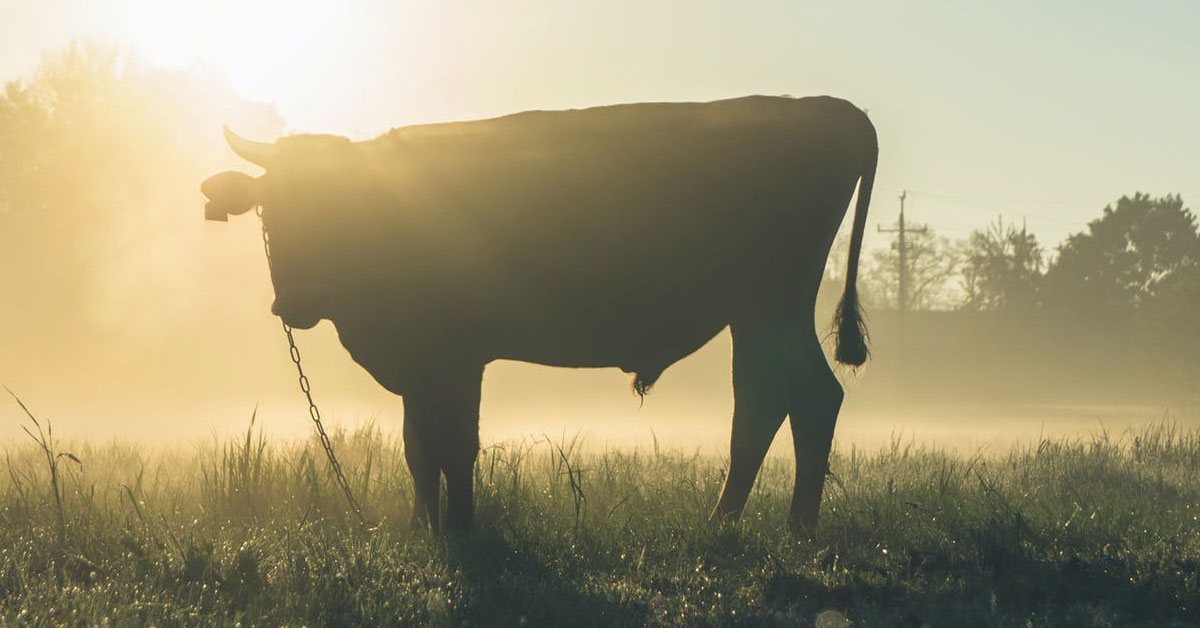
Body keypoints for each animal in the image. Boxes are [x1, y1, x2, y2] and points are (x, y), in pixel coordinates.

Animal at [201, 95, 877, 533]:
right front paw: (423, 529)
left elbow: (455, 445)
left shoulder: (455, 358)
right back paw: (757, 524)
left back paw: (771, 528)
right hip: (760, 315)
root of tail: (830, 108)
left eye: (339, 203)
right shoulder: (421, 366)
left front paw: (461, 531)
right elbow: (417, 447)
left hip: (770, 306)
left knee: (792, 399)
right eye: (270, 206)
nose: (299, 298)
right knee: (779, 400)